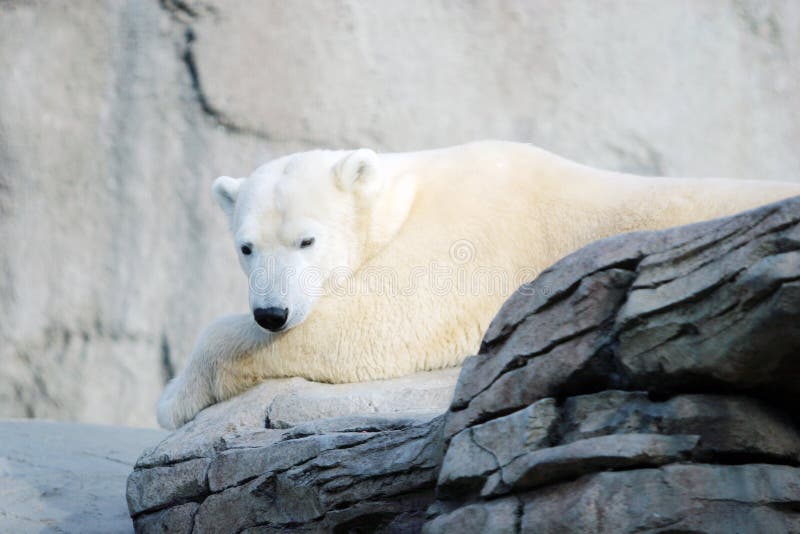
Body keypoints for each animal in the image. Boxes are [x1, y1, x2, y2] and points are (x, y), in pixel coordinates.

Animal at [157, 141, 800, 429]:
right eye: (246, 247)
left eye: (306, 241)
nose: (271, 313)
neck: (405, 196)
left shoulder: (468, 237)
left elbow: (378, 318)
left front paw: (172, 398)